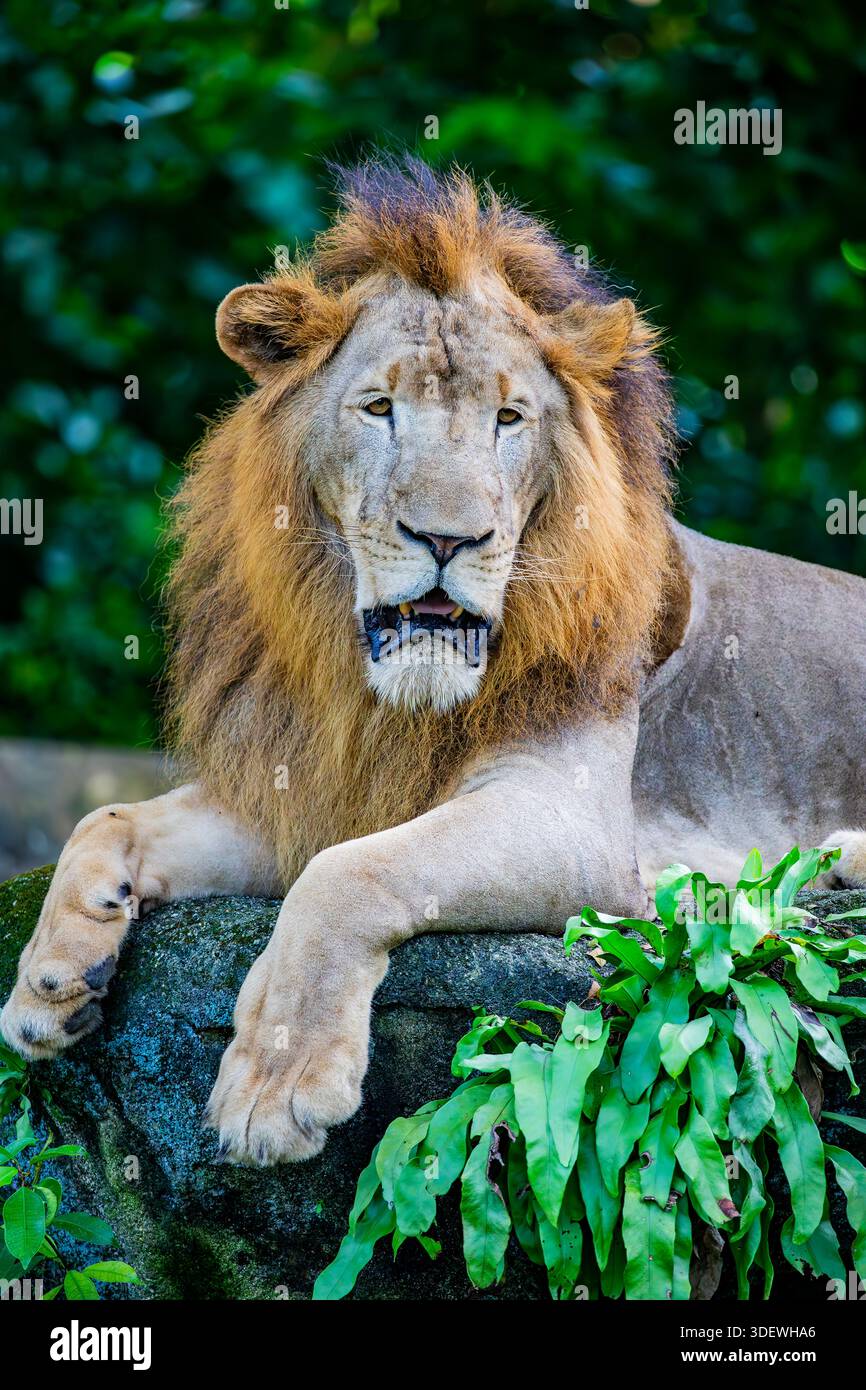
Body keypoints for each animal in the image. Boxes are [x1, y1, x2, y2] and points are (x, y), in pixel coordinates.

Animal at [3, 157, 865, 1166]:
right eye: (380, 409)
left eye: (508, 418)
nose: (450, 539)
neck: (383, 701)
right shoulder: (306, 789)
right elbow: (107, 815)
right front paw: (51, 974)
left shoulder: (573, 821)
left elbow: (346, 872)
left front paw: (277, 1082)